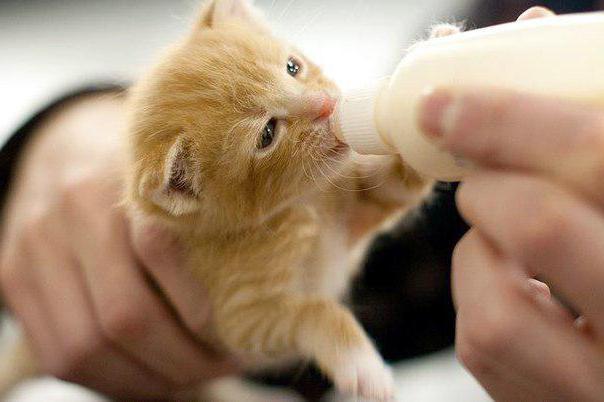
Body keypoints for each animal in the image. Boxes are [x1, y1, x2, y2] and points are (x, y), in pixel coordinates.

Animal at [1, 1, 462, 400]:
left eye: (292, 67)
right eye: (267, 134)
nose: (328, 106)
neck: (305, 205)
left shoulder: (357, 200)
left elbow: (402, 175)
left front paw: (435, 55)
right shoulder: (240, 323)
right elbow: (313, 311)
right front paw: (362, 368)